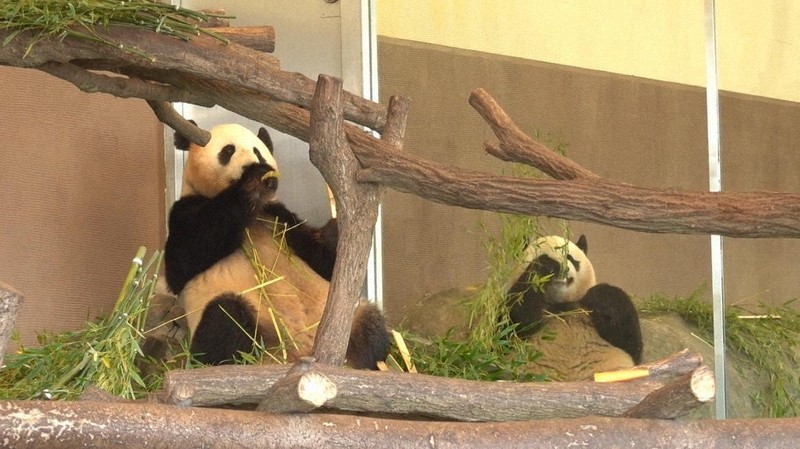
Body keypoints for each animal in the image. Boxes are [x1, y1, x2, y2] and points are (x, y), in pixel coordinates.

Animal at [164, 122, 390, 369]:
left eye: (258, 151)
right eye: (228, 150)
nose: (252, 165)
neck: (255, 210)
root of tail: (296, 355)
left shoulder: (280, 218)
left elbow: (324, 262)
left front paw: (335, 228)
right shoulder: (185, 211)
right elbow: (185, 257)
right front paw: (253, 181)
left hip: (347, 318)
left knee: (370, 322)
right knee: (226, 319)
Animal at [506, 234, 643, 381]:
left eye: (569, 257)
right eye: (542, 255)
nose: (561, 269)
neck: (561, 305)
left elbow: (629, 341)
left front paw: (598, 295)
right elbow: (515, 319)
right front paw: (545, 266)